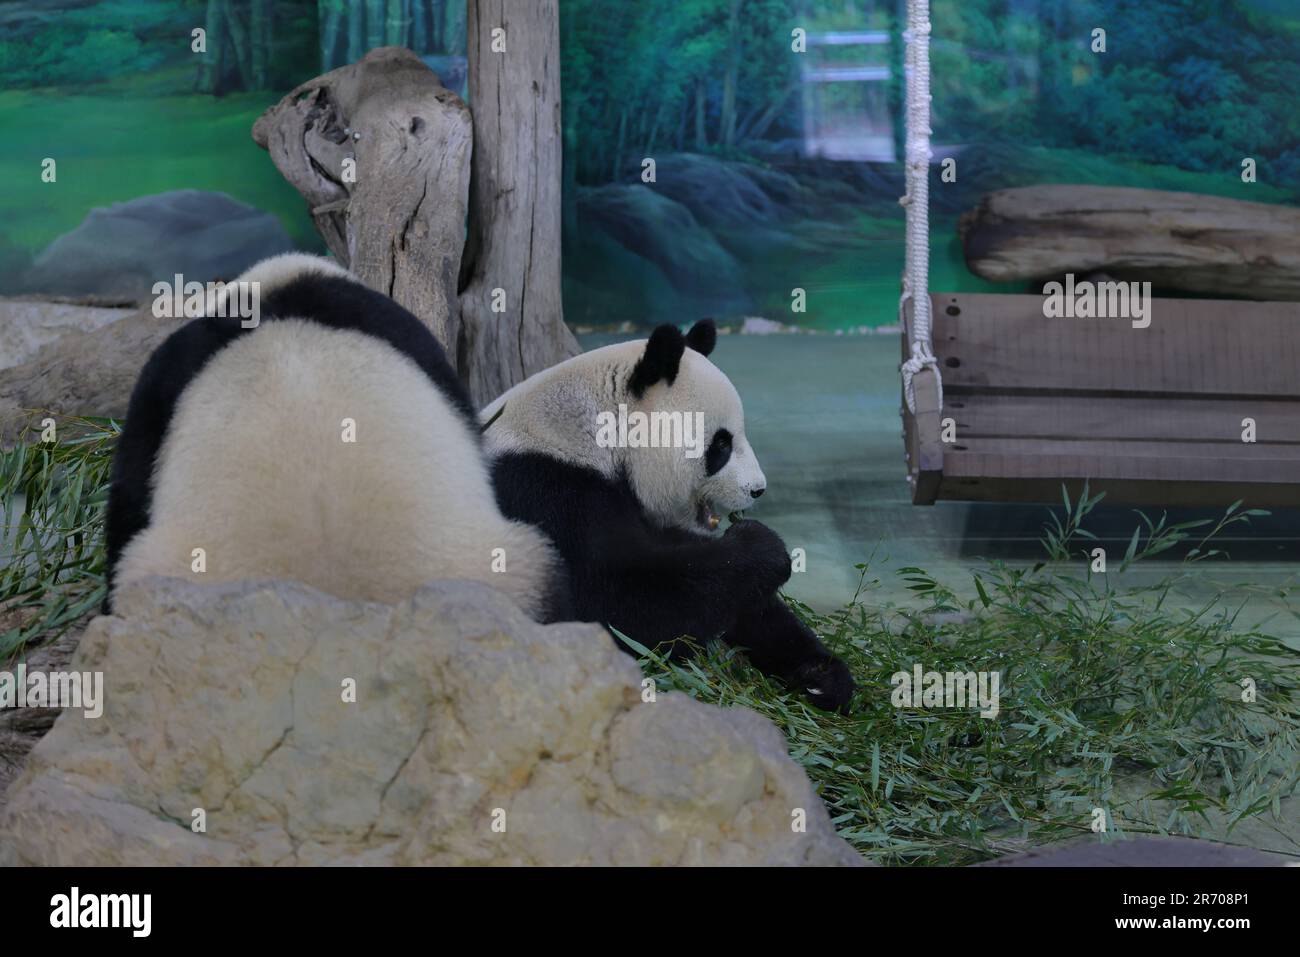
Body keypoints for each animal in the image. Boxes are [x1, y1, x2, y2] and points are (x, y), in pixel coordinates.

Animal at [483, 322, 856, 712]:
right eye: (721, 445)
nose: (758, 489)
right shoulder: (542, 491)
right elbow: (618, 604)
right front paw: (762, 545)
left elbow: (734, 600)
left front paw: (821, 676)